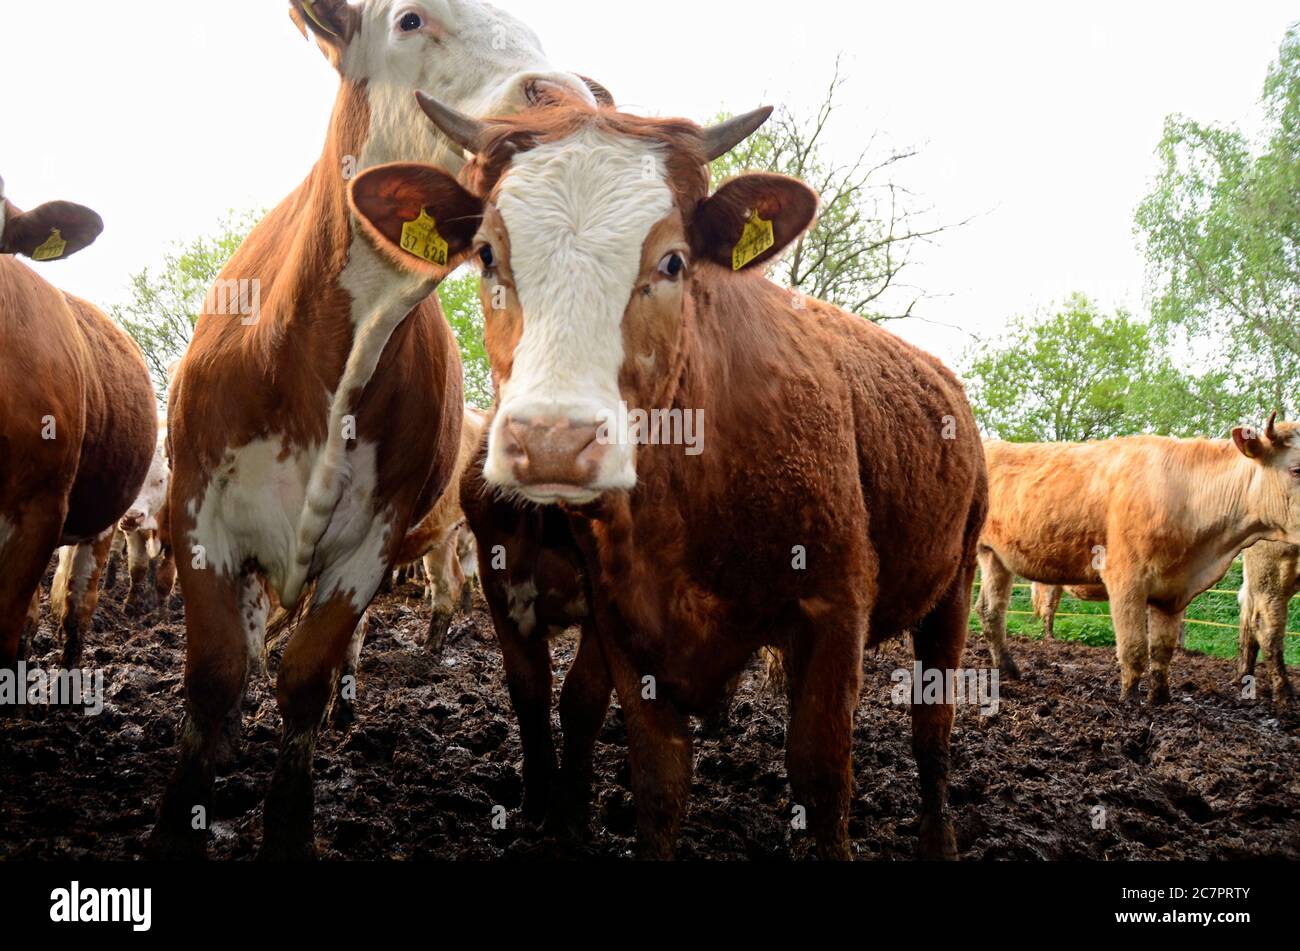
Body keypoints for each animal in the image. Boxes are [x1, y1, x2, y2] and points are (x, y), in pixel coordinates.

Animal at [151, 0, 604, 860]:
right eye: (410, 19)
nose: (572, 103)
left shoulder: (373, 541)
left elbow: (305, 673)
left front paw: (289, 827)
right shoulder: (198, 514)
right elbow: (219, 671)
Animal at [350, 97, 990, 860]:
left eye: (674, 261)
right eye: (486, 255)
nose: (554, 441)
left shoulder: (835, 606)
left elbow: (823, 780)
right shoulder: (621, 625)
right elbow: (654, 781)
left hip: (954, 583)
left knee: (933, 729)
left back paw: (939, 836)